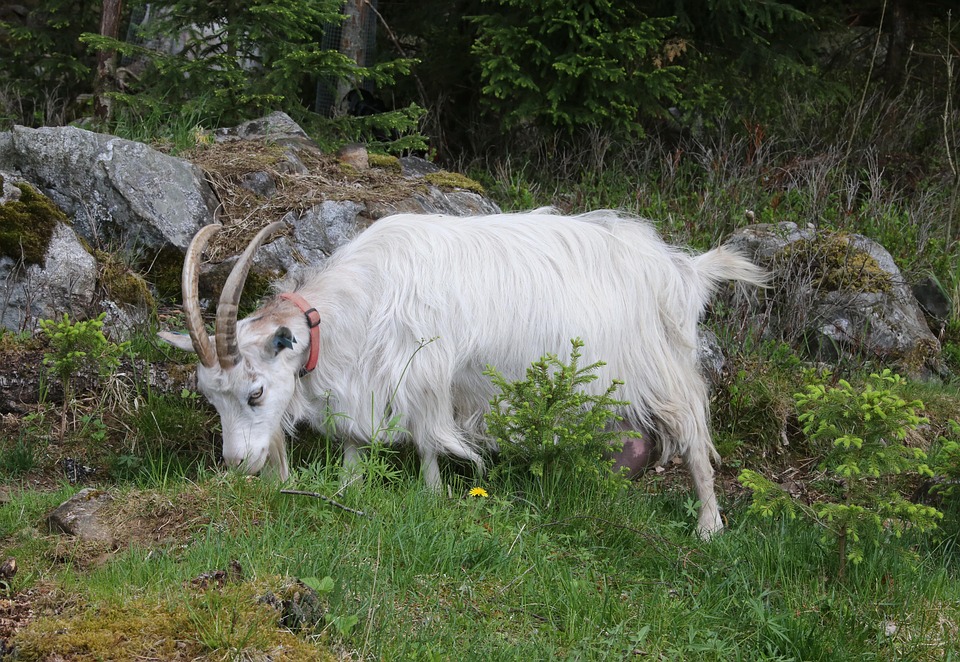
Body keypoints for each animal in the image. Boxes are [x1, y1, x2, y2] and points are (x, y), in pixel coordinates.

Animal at [159, 209, 766, 537]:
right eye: (212, 399)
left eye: (256, 392)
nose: (239, 465)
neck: (366, 297)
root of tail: (678, 268)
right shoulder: (361, 381)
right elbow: (353, 437)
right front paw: (349, 484)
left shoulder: (426, 372)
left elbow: (429, 439)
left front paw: (430, 496)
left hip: (660, 364)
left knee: (693, 433)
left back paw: (708, 525)